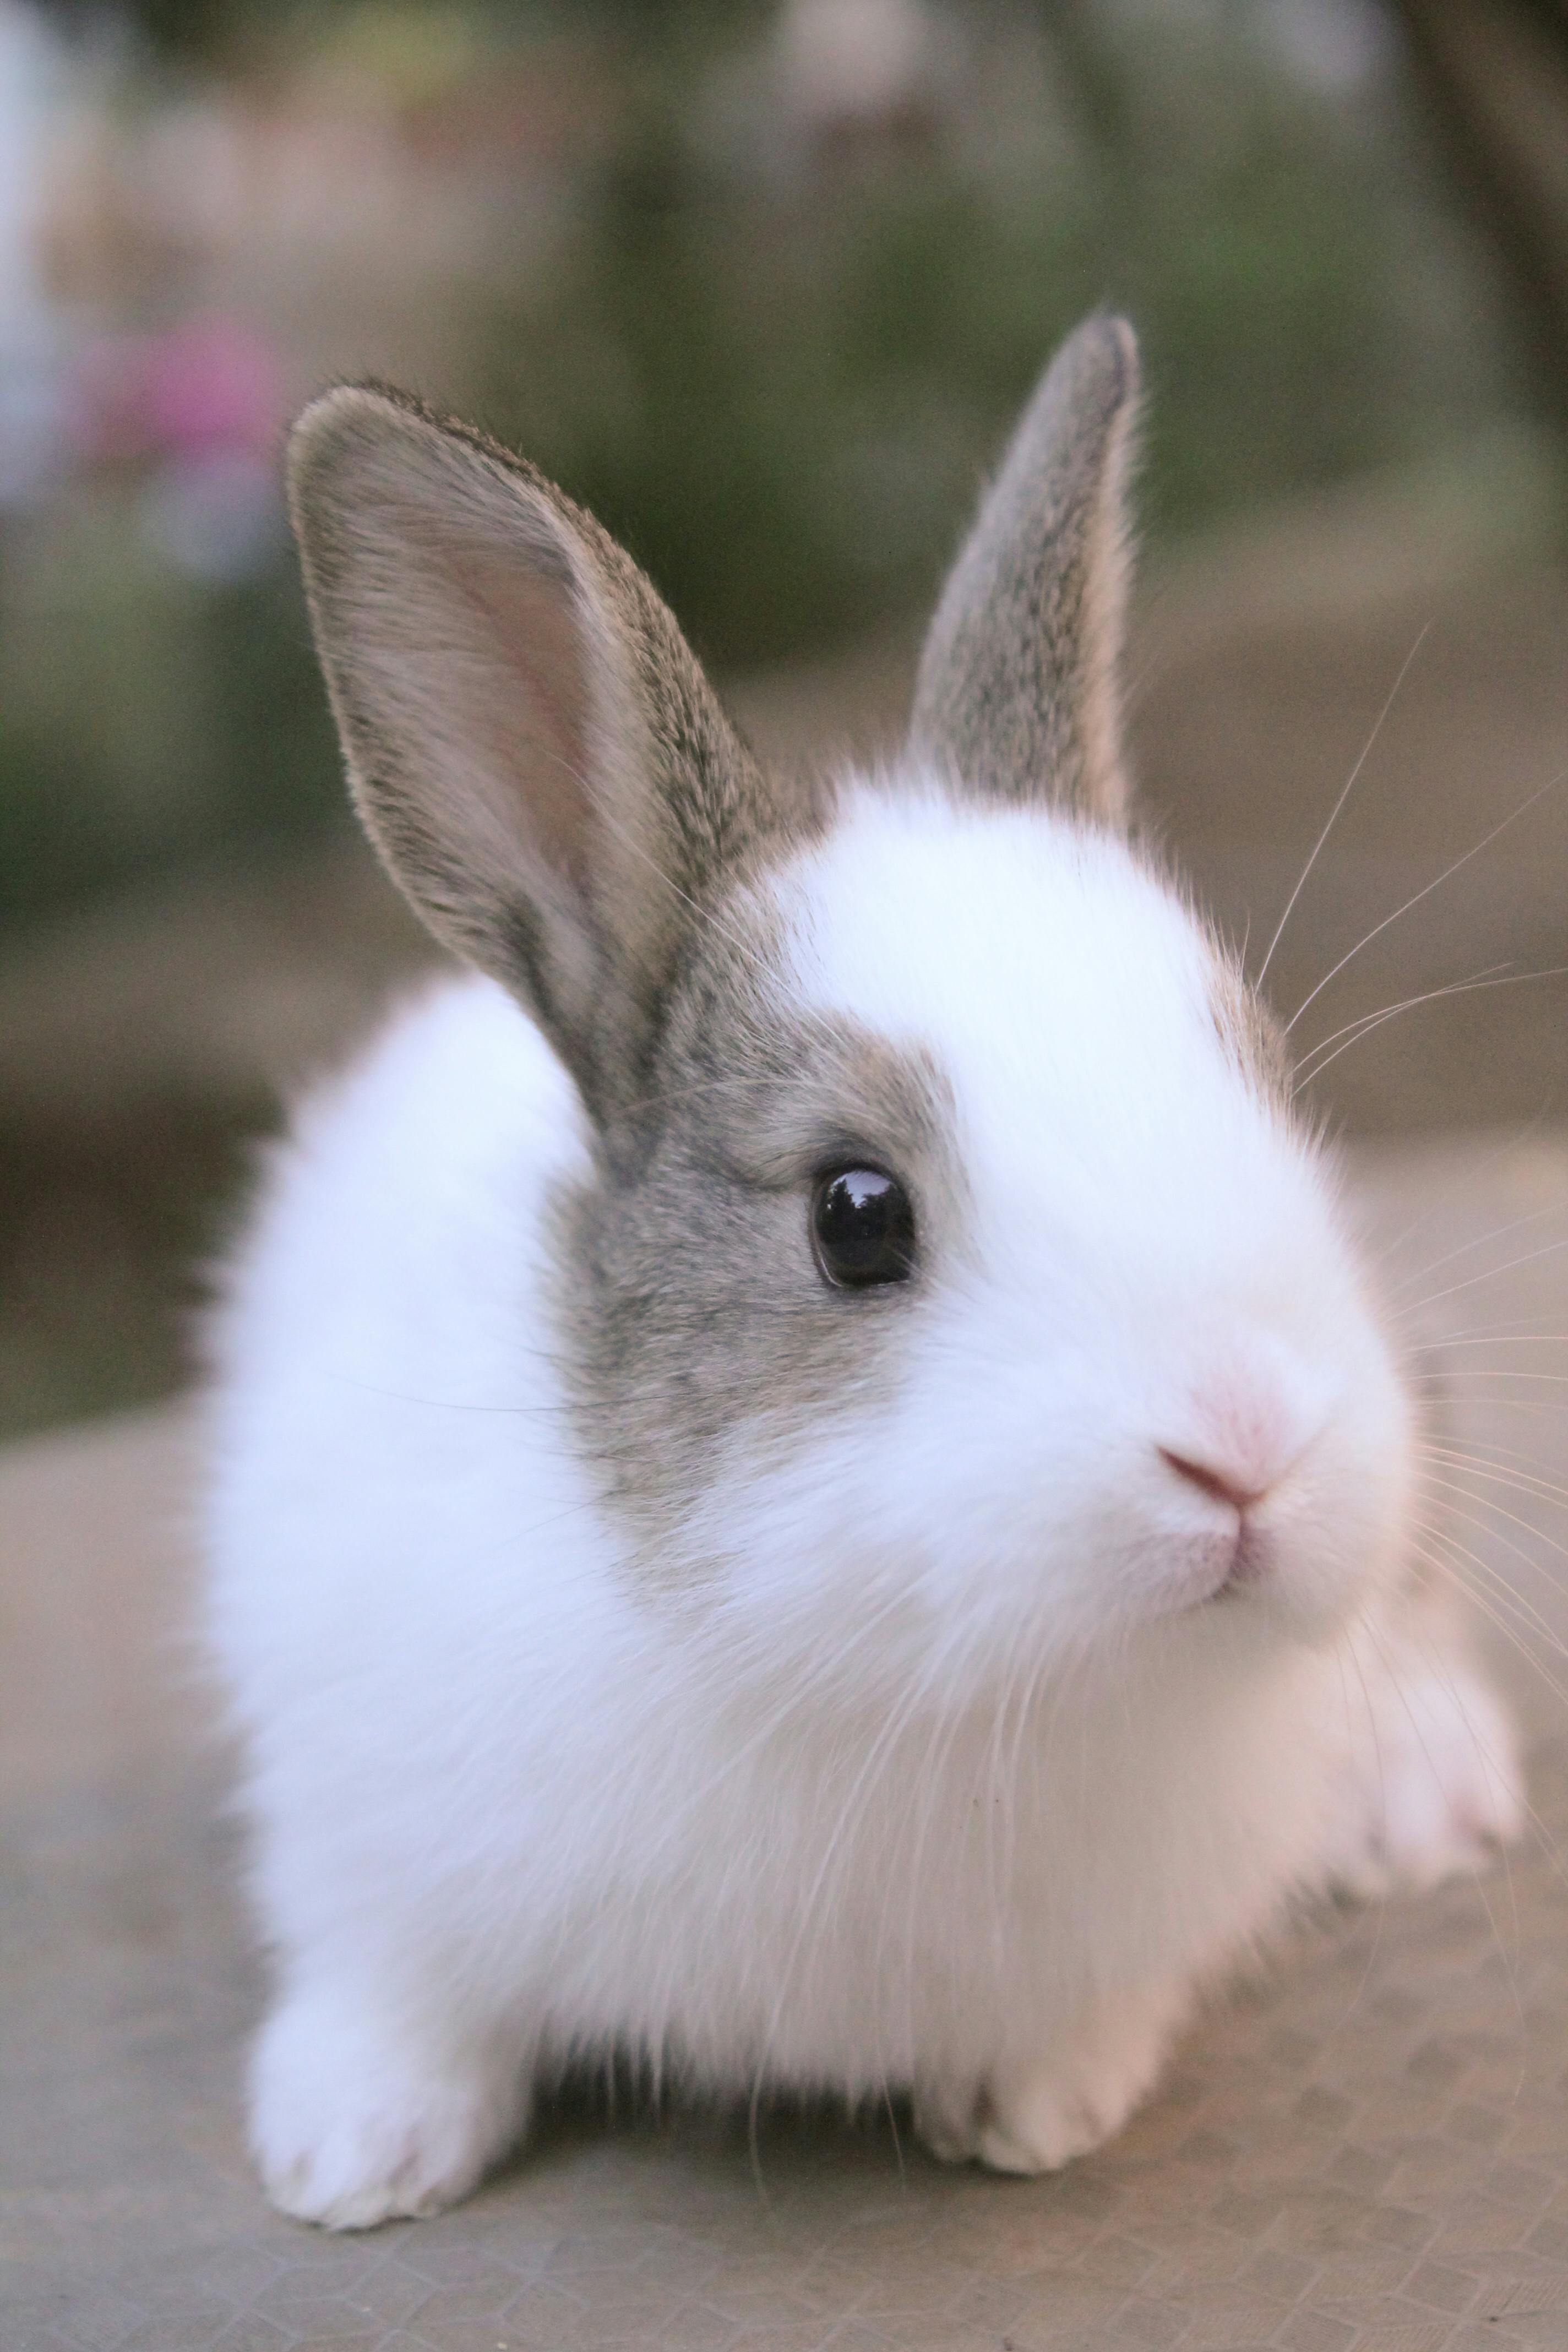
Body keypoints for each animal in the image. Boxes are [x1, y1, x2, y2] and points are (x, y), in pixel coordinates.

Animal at [205, 315, 1524, 2230]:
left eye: (1268, 1088)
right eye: (854, 1213)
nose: (1249, 1448)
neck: (886, 1673)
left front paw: (1039, 2101)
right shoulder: (352, 1807)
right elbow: (392, 1976)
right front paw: (353, 2153)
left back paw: (1419, 1794)